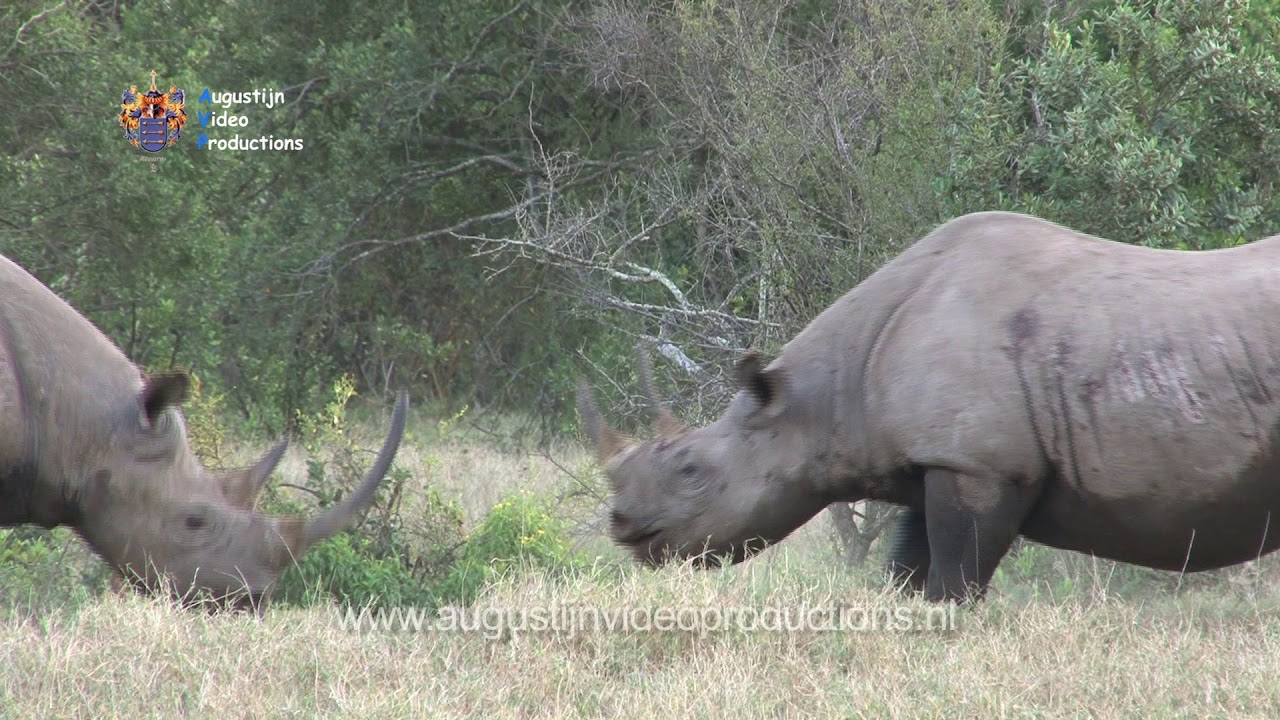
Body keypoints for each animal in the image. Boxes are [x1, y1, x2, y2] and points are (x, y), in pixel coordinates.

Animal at [579, 211, 1280, 603]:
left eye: (692, 471)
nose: (623, 526)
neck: (813, 399)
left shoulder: (979, 464)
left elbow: (954, 581)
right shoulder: (932, 461)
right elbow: (910, 578)